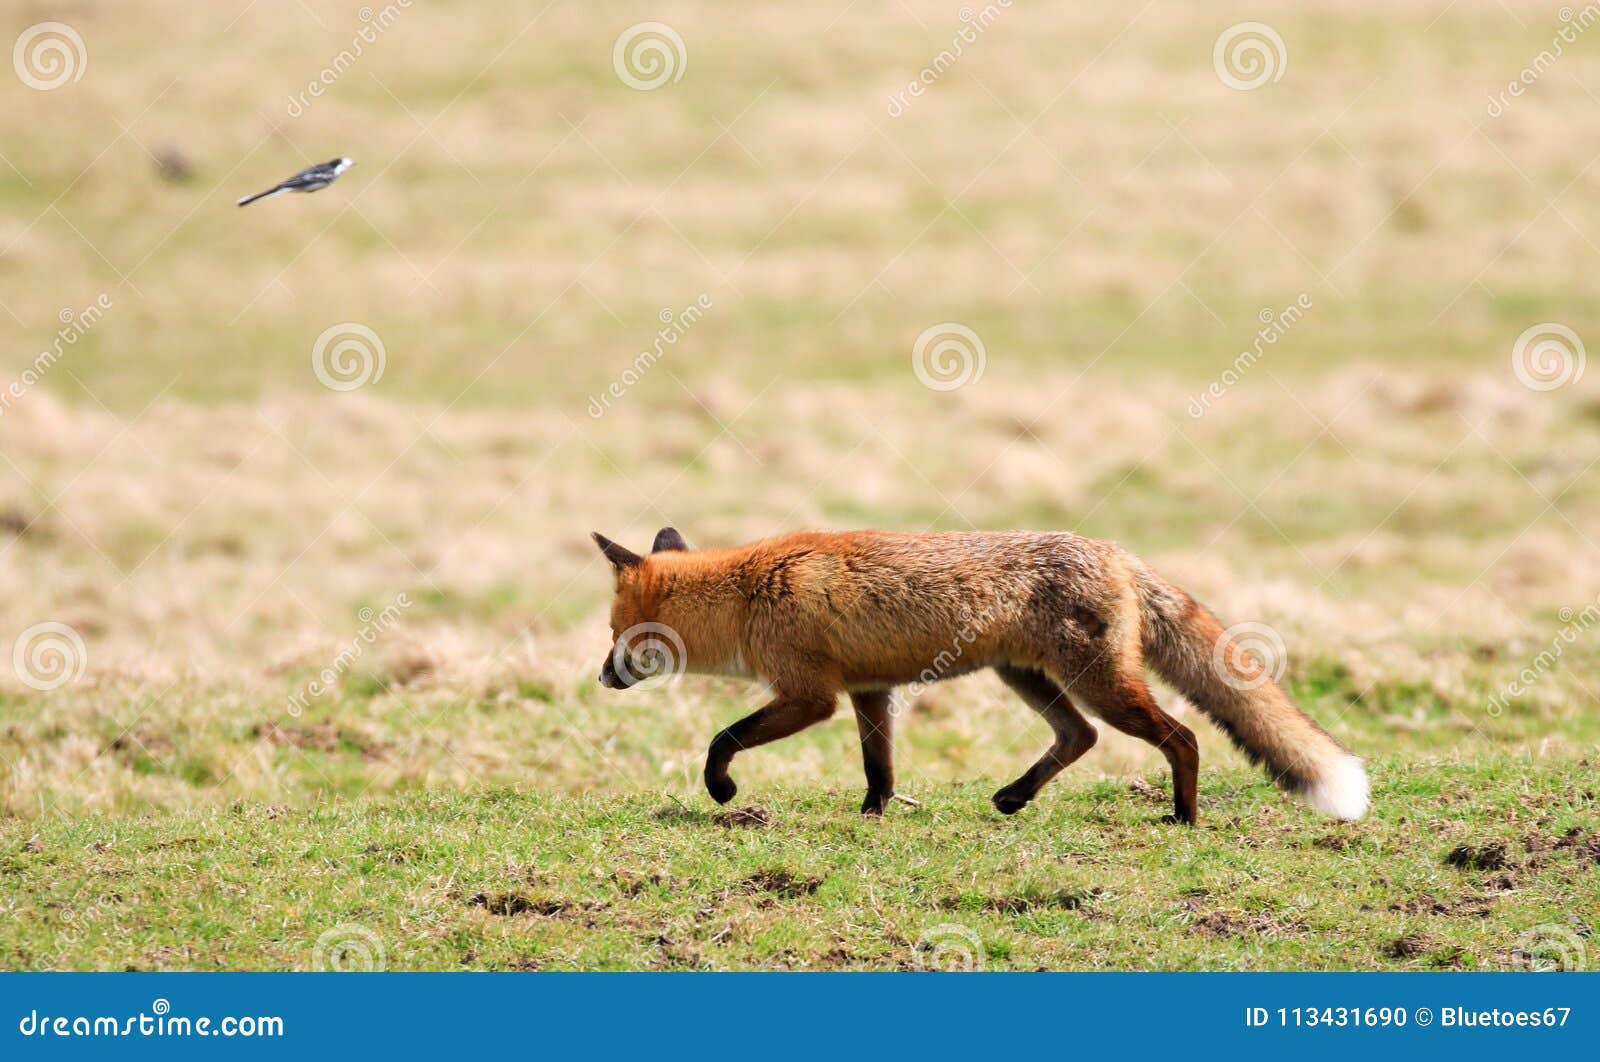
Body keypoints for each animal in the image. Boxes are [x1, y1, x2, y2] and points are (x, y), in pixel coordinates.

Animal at [591, 526, 1369, 825]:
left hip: (1101, 686)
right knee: (1079, 739)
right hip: (1029, 680)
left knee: (1182, 737)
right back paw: (1015, 797)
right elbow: (879, 766)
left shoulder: (811, 697)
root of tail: (1115, 550)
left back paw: (1183, 816)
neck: (750, 593)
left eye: (615, 636)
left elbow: (722, 738)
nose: (601, 679)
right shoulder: (870, 690)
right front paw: (875, 814)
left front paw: (721, 790)